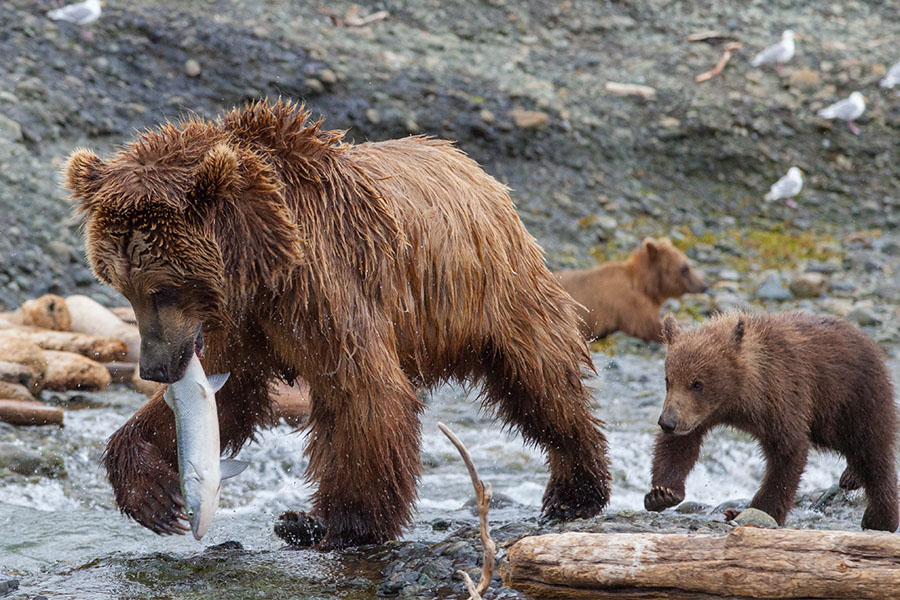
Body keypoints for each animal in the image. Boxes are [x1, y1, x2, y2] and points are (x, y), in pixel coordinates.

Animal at [63, 99, 611, 548]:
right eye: (122, 287)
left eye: (163, 288)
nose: (155, 368)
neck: (262, 265)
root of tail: (473, 167)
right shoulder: (240, 327)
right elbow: (231, 395)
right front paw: (149, 493)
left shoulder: (323, 289)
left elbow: (364, 393)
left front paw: (343, 523)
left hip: (490, 290)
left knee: (541, 380)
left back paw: (575, 489)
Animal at [555, 238, 707, 342]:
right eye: (685, 268)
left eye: (688, 265)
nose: (704, 285)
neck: (644, 286)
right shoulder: (629, 305)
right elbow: (649, 326)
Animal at [645, 311, 899, 532]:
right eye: (668, 380)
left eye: (697, 383)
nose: (667, 423)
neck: (740, 397)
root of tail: (869, 342)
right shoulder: (699, 413)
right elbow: (679, 446)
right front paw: (661, 493)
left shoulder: (784, 393)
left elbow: (787, 453)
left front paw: (755, 510)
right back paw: (852, 478)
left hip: (851, 398)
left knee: (872, 450)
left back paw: (880, 517)